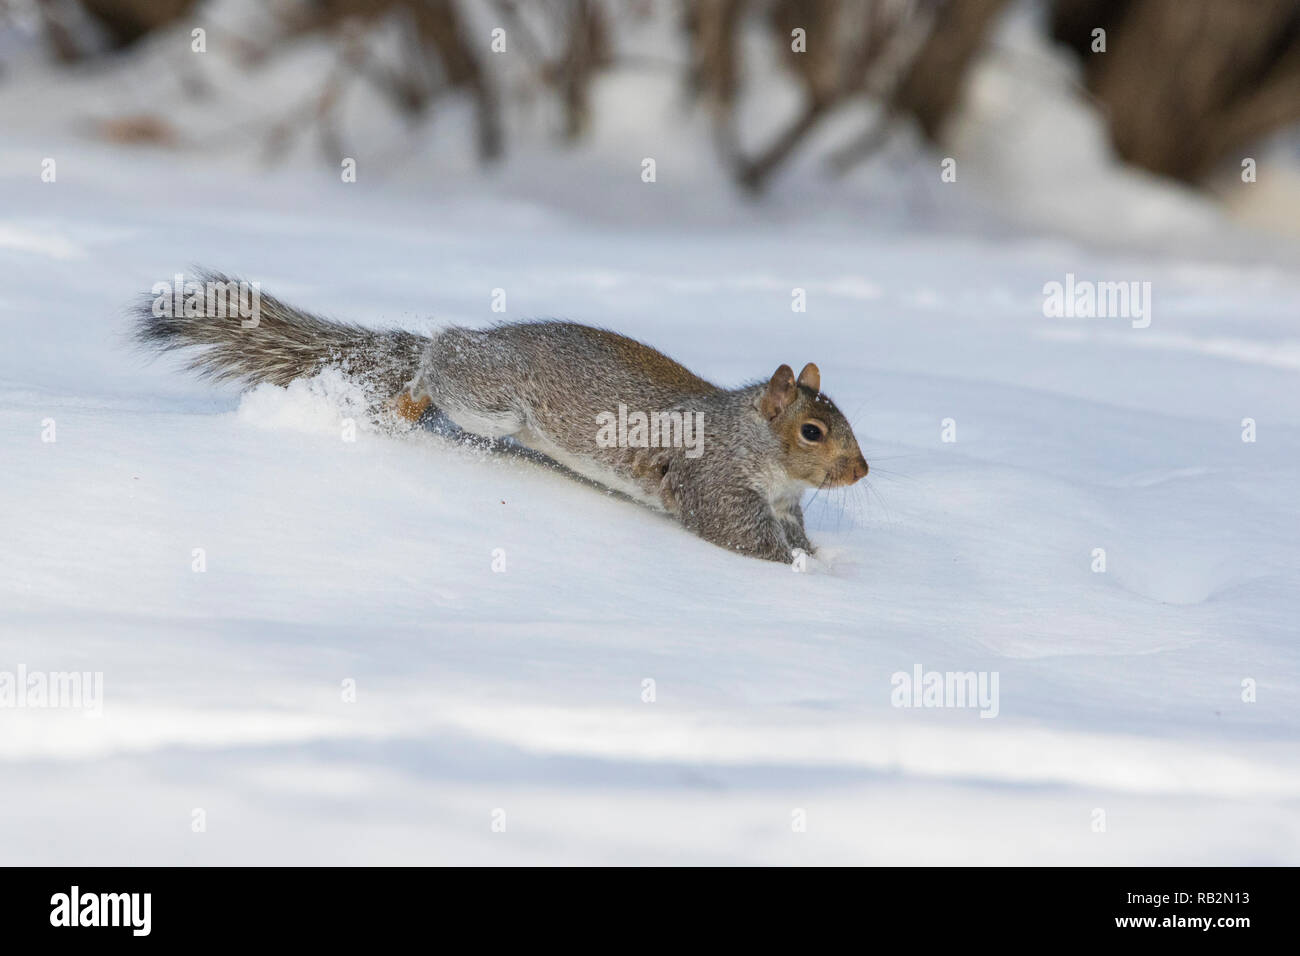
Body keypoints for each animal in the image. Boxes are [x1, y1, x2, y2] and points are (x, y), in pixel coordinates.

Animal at [134, 270, 868, 563]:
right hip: (489, 399)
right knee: (437, 365)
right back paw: (408, 399)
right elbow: (740, 535)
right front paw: (798, 572)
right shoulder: (716, 481)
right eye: (811, 431)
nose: (861, 472)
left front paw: (821, 561)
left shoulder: (784, 504)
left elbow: (797, 535)